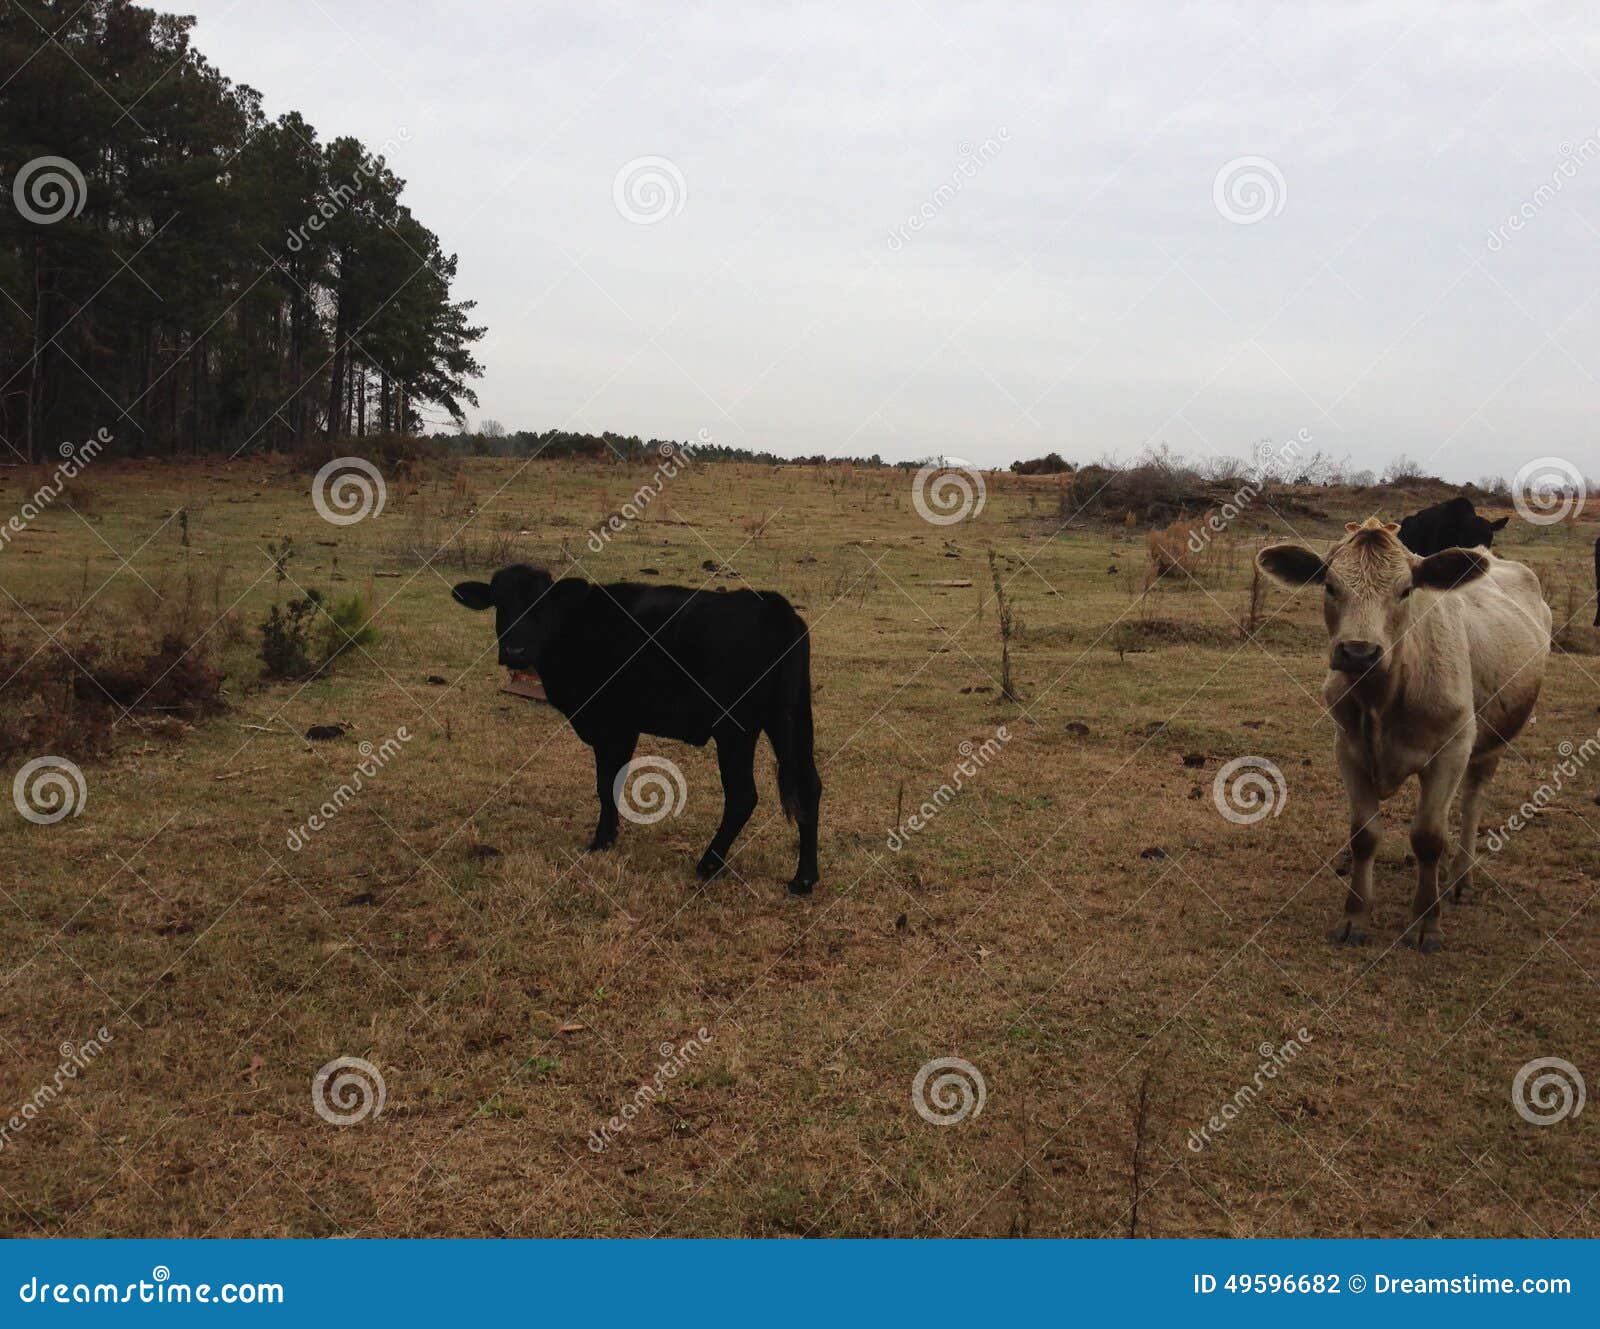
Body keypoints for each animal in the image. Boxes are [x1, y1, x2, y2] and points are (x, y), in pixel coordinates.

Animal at [452, 565, 822, 894]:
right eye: (499, 603)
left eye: (542, 605)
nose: (514, 651)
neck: (572, 629)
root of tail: (774, 606)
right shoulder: (625, 728)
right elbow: (614, 784)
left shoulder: (611, 725)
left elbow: (605, 784)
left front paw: (601, 840)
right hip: (792, 722)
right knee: (809, 787)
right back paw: (803, 879)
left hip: (735, 730)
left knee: (743, 796)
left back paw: (709, 863)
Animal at [1256, 518, 1550, 953]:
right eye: (1330, 586)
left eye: (1406, 590)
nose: (1358, 652)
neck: (1385, 695)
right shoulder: (1348, 748)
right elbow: (1364, 834)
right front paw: (1355, 917)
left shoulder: (1452, 749)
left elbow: (1428, 836)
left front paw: (1427, 922)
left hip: (1492, 742)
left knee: (1471, 803)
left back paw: (1460, 878)